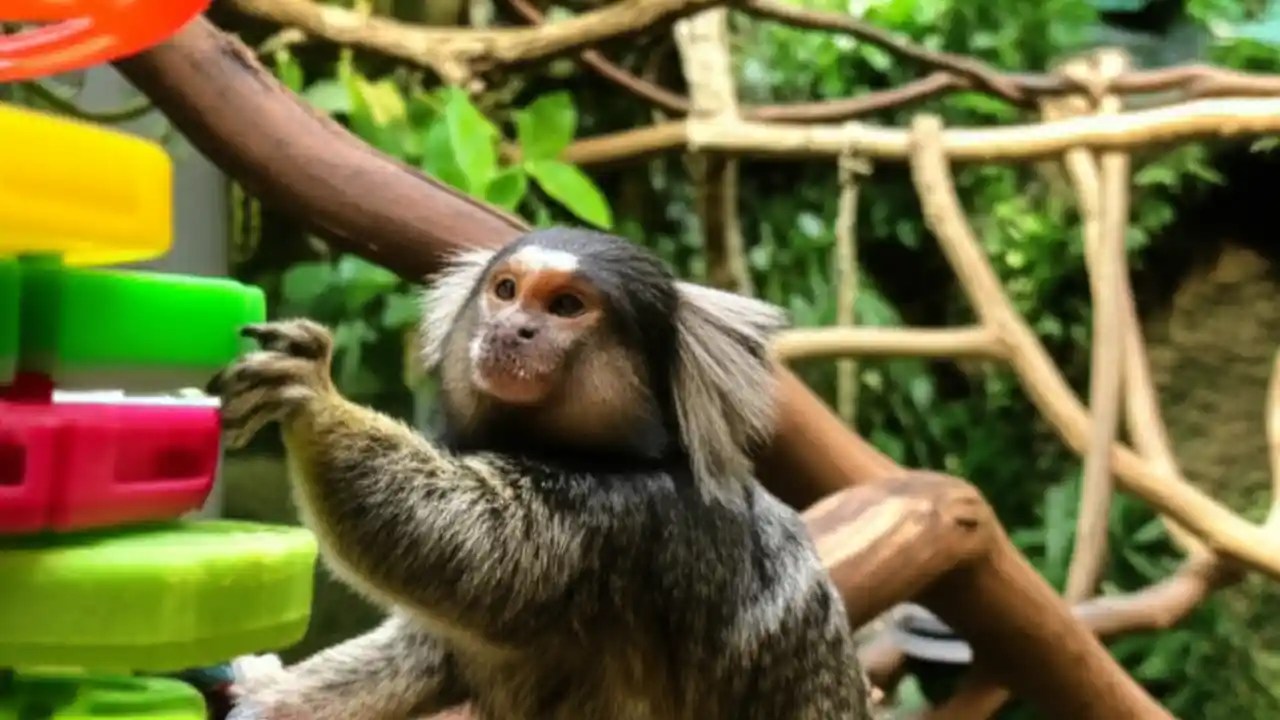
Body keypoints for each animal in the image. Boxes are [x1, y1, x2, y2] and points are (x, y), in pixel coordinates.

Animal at [211, 226, 873, 720]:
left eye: (566, 307)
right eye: (506, 291)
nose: (513, 329)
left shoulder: (625, 527)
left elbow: (462, 545)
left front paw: (314, 397)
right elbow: (425, 654)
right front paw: (265, 695)